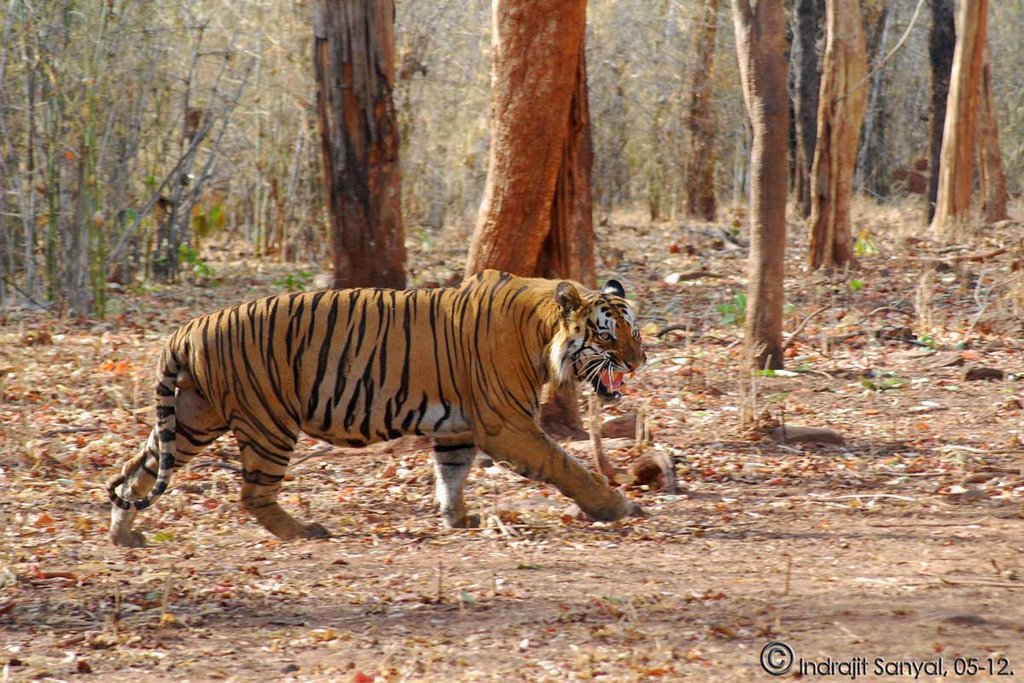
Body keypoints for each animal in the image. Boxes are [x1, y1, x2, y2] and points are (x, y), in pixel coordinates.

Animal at [107, 269, 646, 547]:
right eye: (606, 334)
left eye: (634, 331)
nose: (638, 361)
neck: (539, 332)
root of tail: (187, 329)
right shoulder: (506, 425)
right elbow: (567, 464)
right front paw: (615, 506)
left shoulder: (458, 427)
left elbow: (451, 472)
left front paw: (457, 518)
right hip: (268, 424)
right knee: (253, 495)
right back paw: (304, 532)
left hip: (192, 419)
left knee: (133, 469)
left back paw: (122, 534)